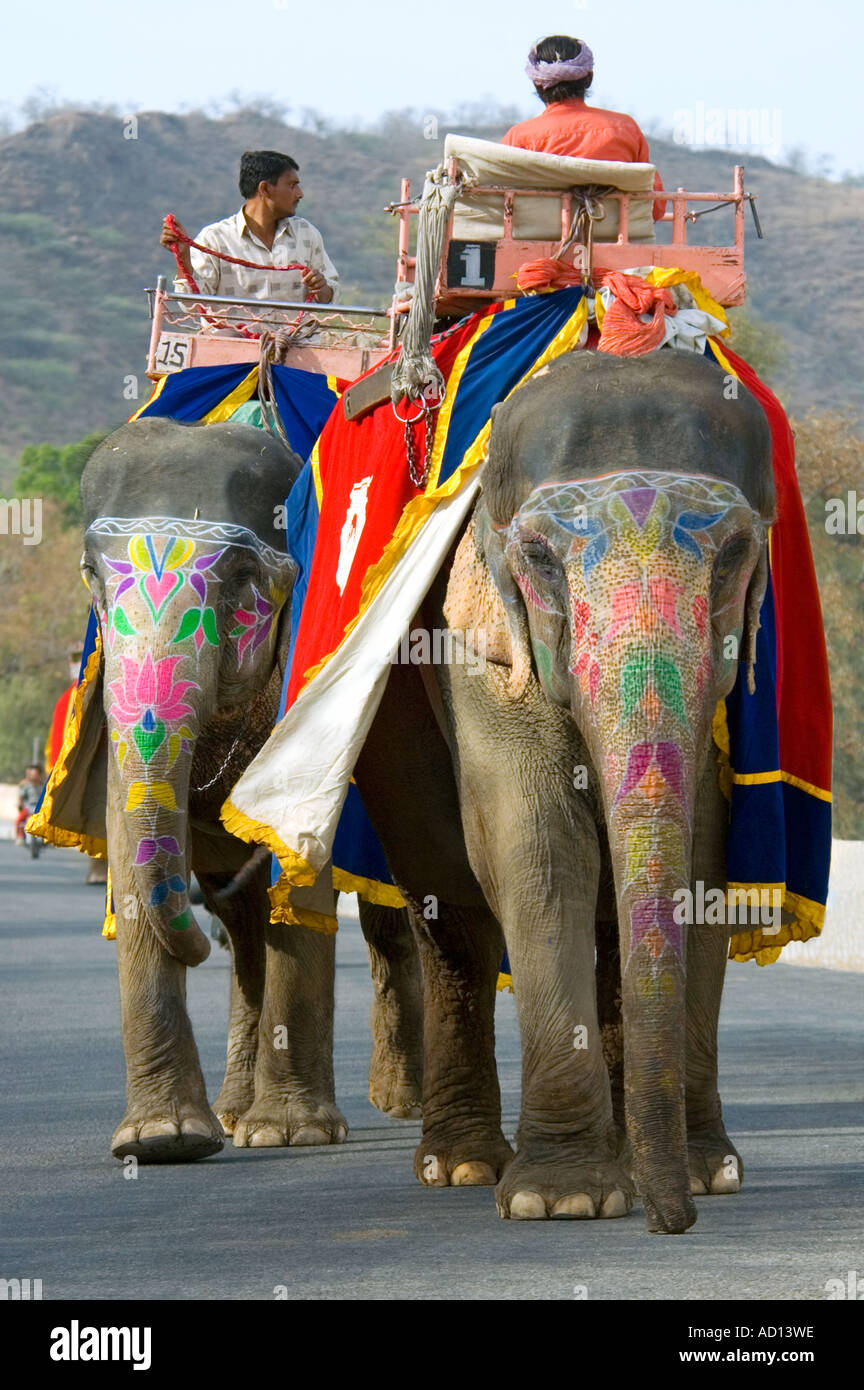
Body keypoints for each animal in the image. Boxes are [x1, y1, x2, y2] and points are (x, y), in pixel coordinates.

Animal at [78, 417, 422, 1162]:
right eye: (92, 576)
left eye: (241, 580)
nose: (194, 949)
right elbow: (128, 840)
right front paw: (162, 1141)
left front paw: (292, 1133)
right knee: (244, 928)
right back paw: (235, 1113)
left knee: (395, 911)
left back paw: (402, 1103)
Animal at [350, 349, 776, 1232]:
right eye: (542, 558)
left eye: (731, 556)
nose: (674, 1223)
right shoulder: (477, 640)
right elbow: (538, 847)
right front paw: (563, 1197)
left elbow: (701, 862)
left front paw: (707, 1172)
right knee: (450, 904)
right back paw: (464, 1165)